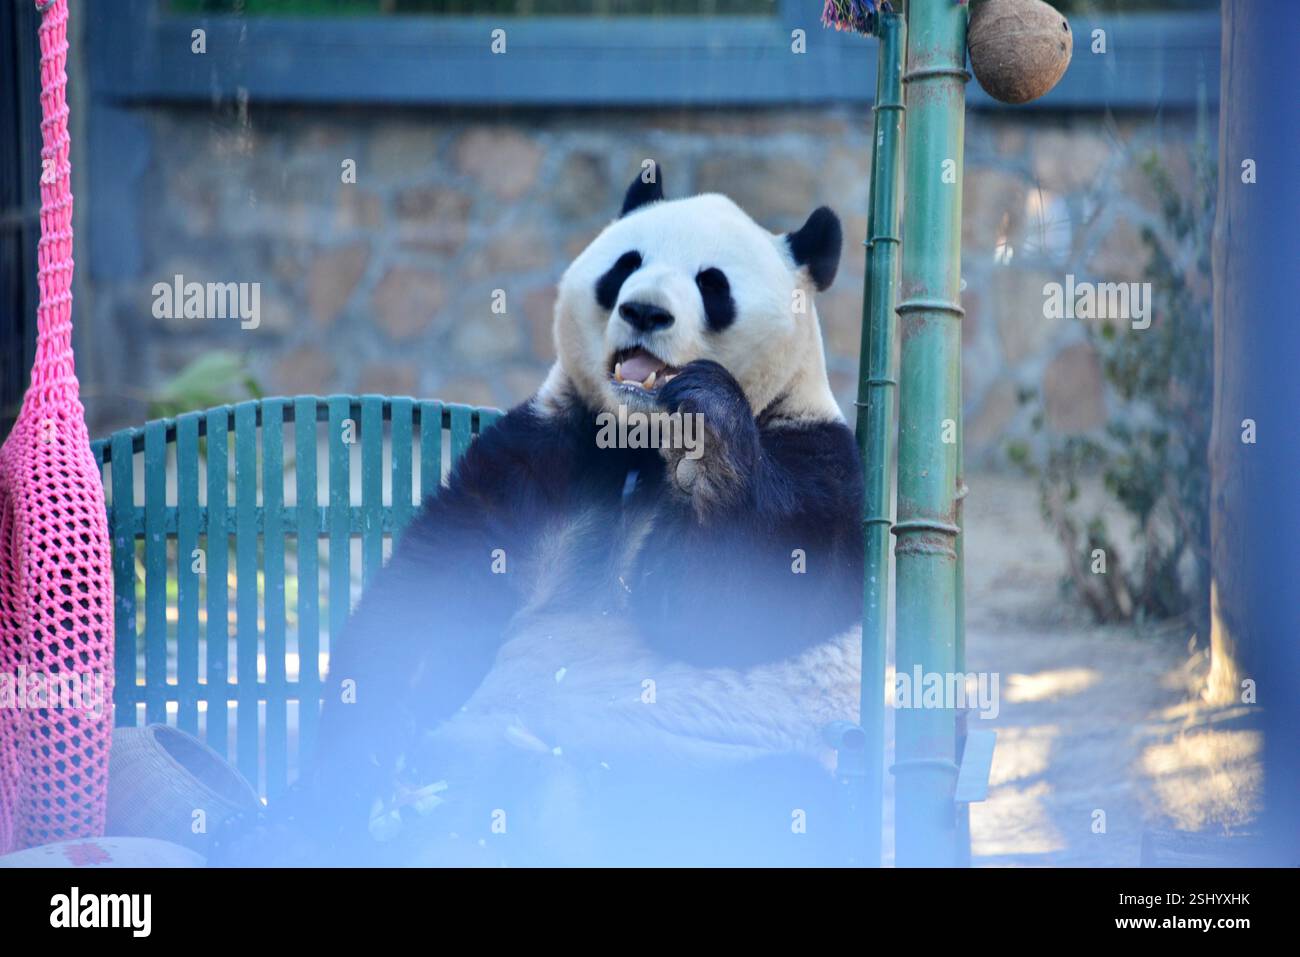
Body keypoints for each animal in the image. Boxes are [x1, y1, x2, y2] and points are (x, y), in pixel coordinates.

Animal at [217, 166, 865, 867]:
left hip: (710, 763)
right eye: (626, 264)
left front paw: (707, 434)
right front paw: (346, 779)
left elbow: (733, 603)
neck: (637, 444)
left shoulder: (817, 461)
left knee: (765, 802)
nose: (644, 311)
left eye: (712, 284)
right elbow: (432, 601)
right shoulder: (549, 451)